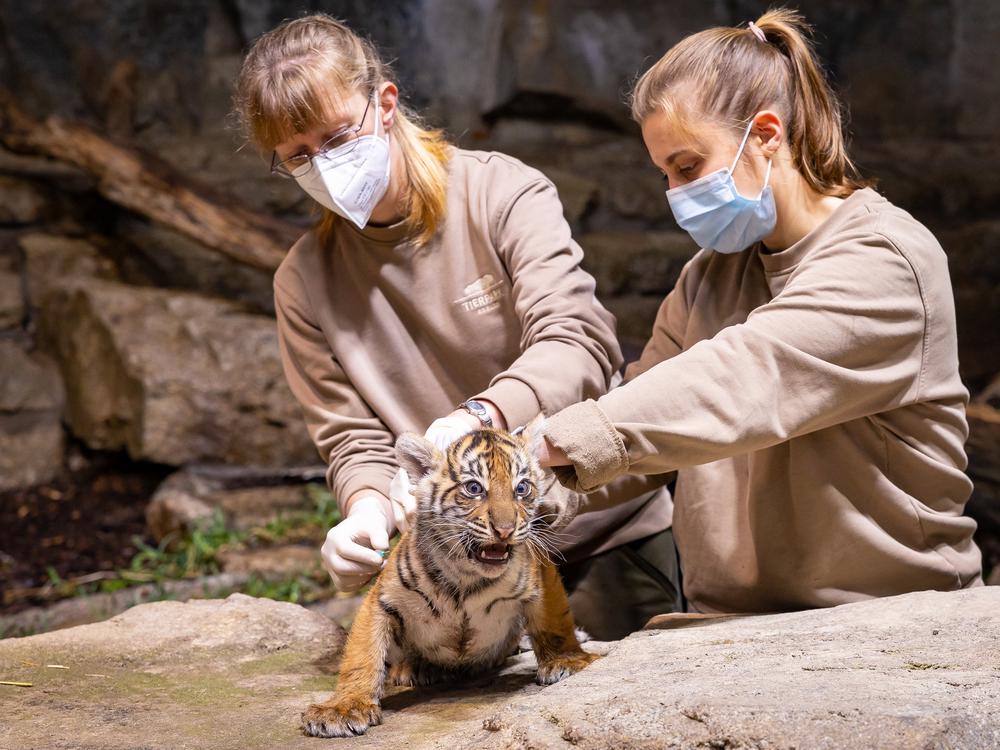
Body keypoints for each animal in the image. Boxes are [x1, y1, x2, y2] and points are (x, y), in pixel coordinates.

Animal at [301, 416, 598, 738]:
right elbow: (361, 655)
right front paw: (343, 708)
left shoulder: (540, 575)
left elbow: (555, 624)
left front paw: (568, 660)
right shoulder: (381, 599)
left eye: (521, 488)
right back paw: (414, 668)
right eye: (474, 488)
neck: (466, 575)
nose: (505, 530)